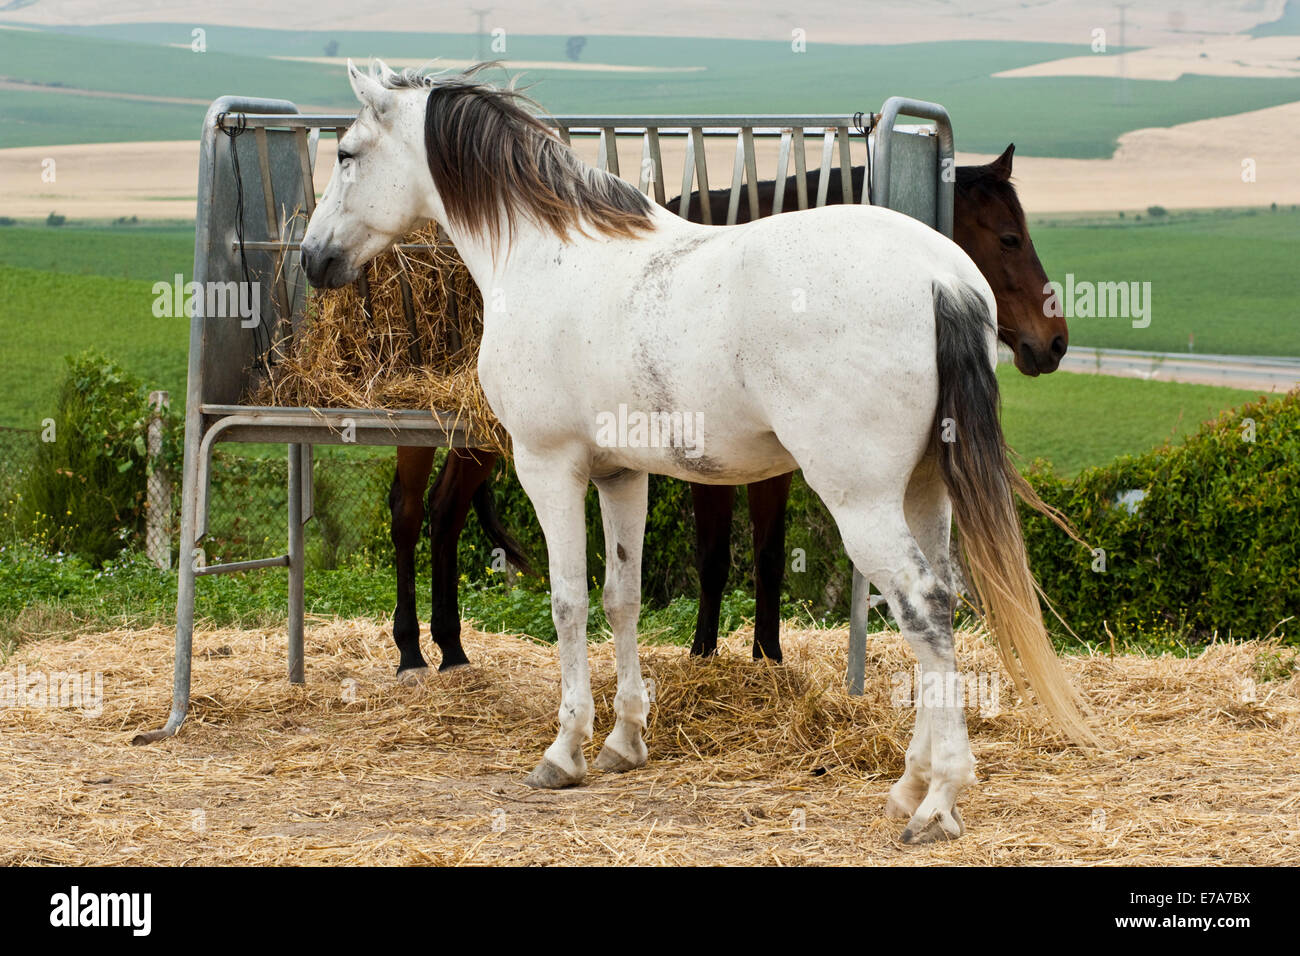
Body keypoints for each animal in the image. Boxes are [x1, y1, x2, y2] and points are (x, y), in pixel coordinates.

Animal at [388, 146, 1064, 673]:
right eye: (1009, 238)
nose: (1054, 343)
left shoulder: (770, 468)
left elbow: (766, 557)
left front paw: (767, 655)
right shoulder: (703, 464)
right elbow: (714, 558)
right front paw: (705, 653)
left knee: (445, 513)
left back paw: (450, 648)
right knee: (414, 512)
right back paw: (415, 649)